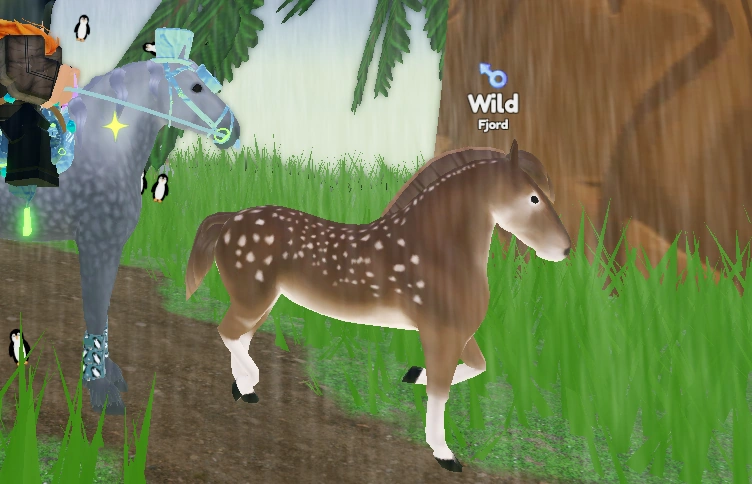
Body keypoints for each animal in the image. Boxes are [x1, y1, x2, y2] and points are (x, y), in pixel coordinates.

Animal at [184, 140, 572, 472]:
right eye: (533, 198)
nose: (566, 249)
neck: (438, 251)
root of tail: (230, 218)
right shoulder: (441, 332)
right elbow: (441, 389)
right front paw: (444, 454)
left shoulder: (457, 332)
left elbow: (476, 367)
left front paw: (412, 374)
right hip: (254, 299)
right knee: (228, 332)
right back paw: (250, 382)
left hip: (262, 301)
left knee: (240, 336)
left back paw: (244, 390)